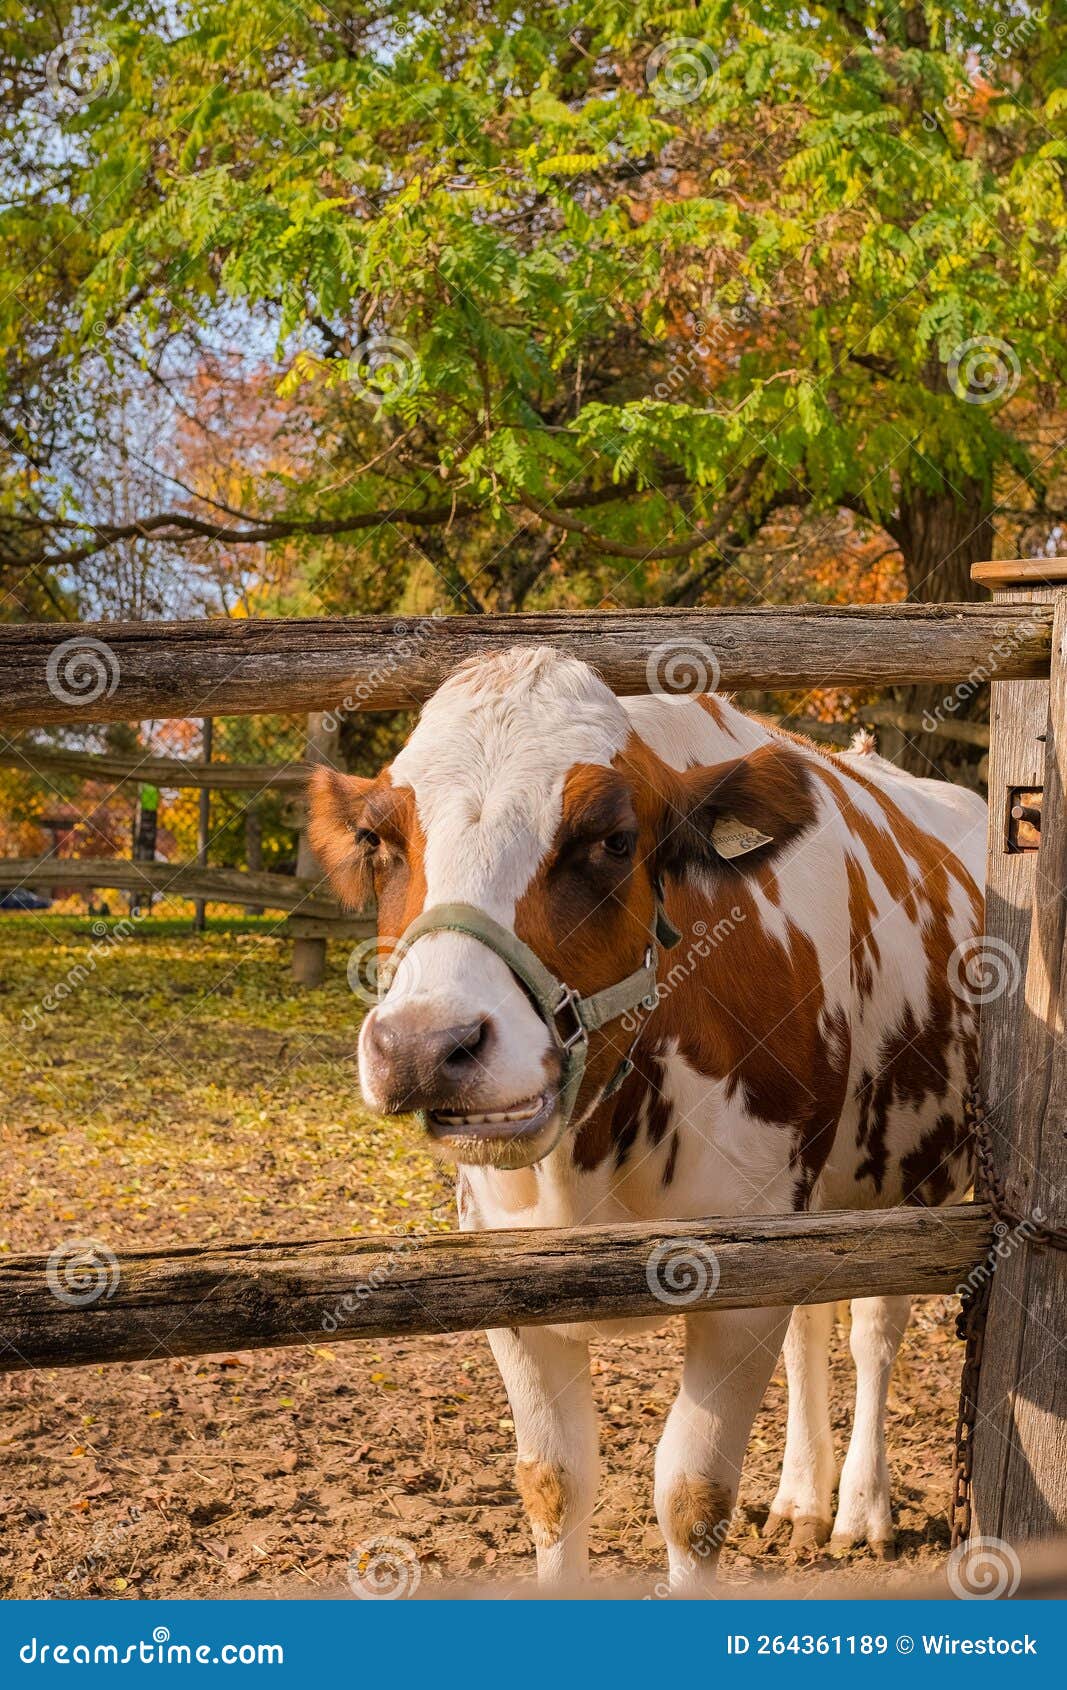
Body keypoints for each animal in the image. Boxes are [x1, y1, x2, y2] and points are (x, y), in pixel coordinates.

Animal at [309, 645, 985, 1593]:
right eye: (379, 842)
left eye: (612, 841)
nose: (422, 1047)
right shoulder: (500, 1268)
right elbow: (554, 1482)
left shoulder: (742, 1262)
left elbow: (692, 1499)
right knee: (812, 1326)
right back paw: (802, 1500)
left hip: (910, 1182)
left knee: (871, 1333)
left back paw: (860, 1509)